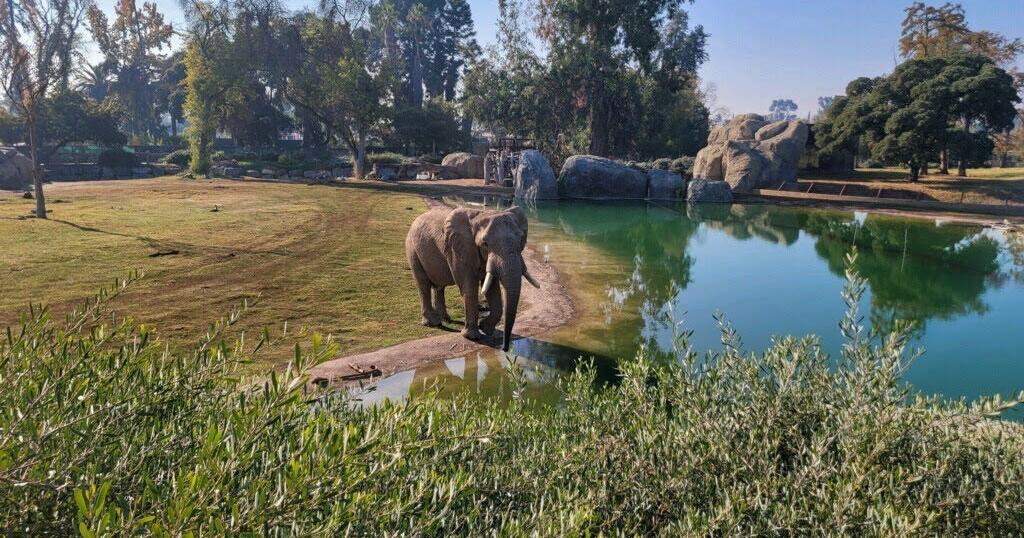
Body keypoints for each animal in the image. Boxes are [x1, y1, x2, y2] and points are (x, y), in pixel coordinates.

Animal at [405, 205, 540, 351]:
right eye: (485, 244)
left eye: (521, 240)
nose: (504, 348)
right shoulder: (460, 250)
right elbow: (468, 287)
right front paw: (472, 337)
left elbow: (493, 289)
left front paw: (485, 328)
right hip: (412, 250)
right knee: (423, 284)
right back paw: (433, 323)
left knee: (439, 287)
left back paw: (446, 319)